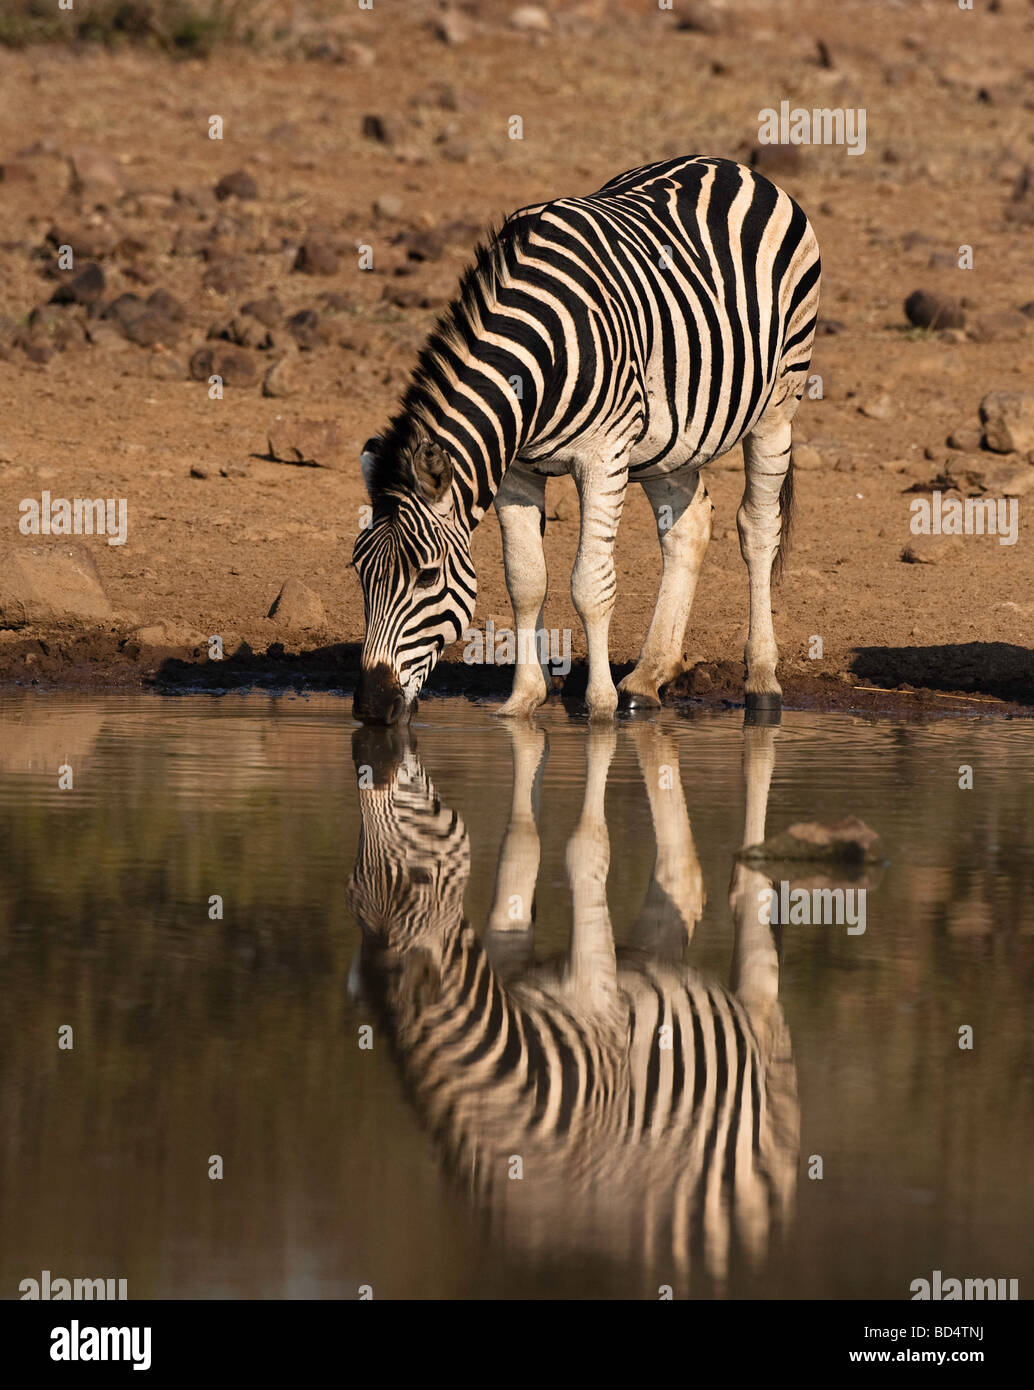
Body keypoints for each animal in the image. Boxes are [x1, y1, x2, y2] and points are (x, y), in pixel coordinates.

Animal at [347, 720, 799, 1286]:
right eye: (351, 887)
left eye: (420, 877)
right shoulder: (509, 959)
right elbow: (521, 852)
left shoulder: (598, 995)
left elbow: (583, 850)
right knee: (676, 894)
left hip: (761, 1041)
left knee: (754, 941)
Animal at [352, 154, 821, 725]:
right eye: (359, 572)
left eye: (425, 576)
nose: (371, 707)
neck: (534, 362)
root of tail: (728, 164)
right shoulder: (516, 468)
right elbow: (525, 580)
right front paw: (523, 700)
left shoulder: (603, 456)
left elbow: (589, 585)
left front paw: (599, 706)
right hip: (672, 437)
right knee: (687, 529)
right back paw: (646, 678)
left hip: (778, 402)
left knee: (757, 529)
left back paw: (762, 681)